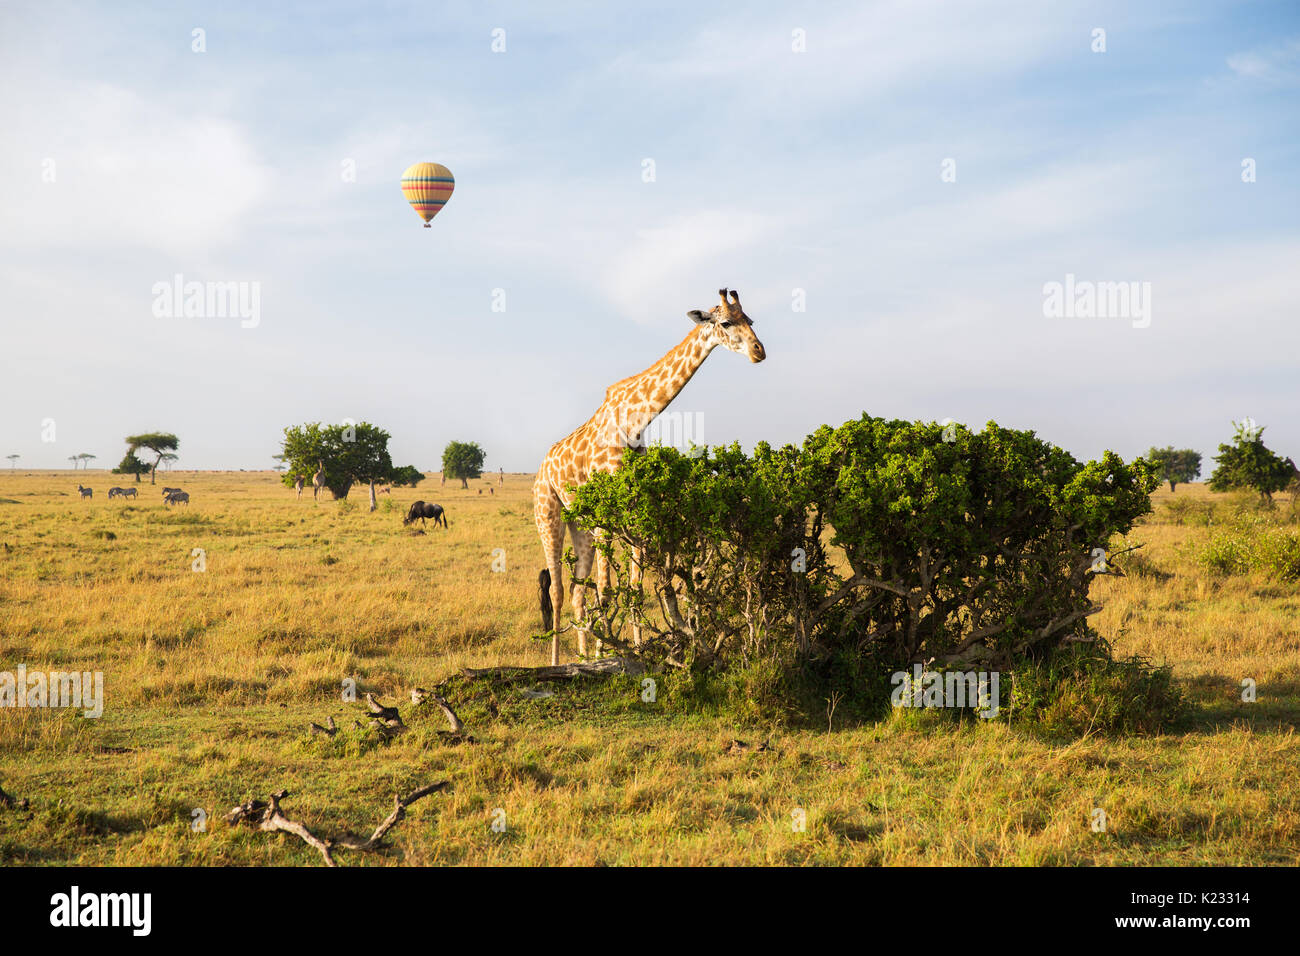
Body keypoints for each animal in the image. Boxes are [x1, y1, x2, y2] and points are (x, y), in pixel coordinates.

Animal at [534, 289, 766, 665]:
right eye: (726, 323)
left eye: (750, 320)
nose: (759, 351)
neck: (635, 422)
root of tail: (541, 469)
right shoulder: (608, 516)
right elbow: (607, 590)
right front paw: (608, 655)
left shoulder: (634, 512)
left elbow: (635, 587)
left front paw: (636, 652)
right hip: (548, 514)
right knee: (557, 590)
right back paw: (557, 663)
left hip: (580, 523)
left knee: (578, 593)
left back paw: (581, 659)